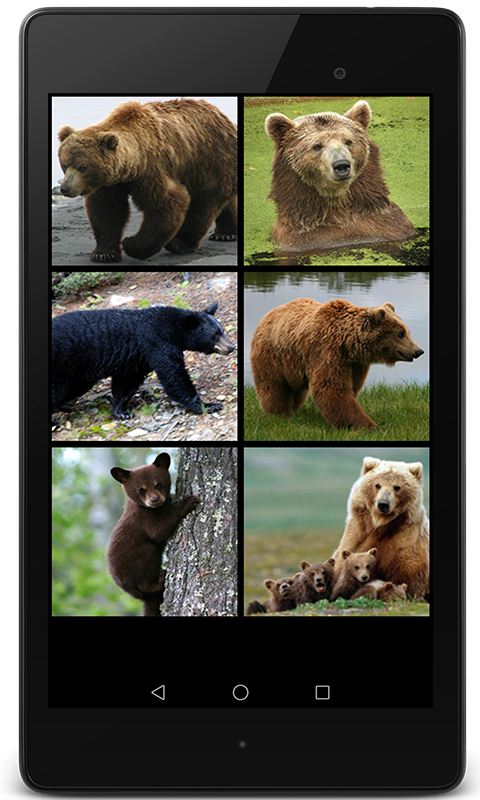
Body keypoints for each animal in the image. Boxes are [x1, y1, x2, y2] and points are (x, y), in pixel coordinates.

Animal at [51, 302, 235, 420]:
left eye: (222, 330)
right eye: (215, 335)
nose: (232, 346)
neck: (172, 329)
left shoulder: (137, 358)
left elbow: (126, 383)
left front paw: (120, 411)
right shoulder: (157, 344)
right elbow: (174, 376)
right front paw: (208, 405)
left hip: (79, 372)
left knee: (74, 388)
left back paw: (66, 406)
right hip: (62, 362)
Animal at [57, 98, 237, 262]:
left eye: (82, 167)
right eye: (65, 164)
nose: (65, 188)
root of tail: (225, 119)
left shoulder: (152, 170)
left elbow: (165, 203)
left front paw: (130, 244)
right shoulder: (111, 182)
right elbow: (107, 210)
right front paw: (104, 253)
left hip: (208, 160)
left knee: (205, 203)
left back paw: (181, 243)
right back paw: (226, 233)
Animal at [106, 453, 200, 616]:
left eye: (159, 484)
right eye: (141, 489)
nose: (155, 499)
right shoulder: (143, 518)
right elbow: (158, 530)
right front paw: (187, 502)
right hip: (137, 562)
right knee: (145, 572)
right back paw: (160, 579)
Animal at [249, 297, 423, 430]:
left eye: (407, 332)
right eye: (400, 334)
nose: (418, 351)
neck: (348, 345)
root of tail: (267, 315)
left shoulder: (355, 365)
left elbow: (351, 387)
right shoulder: (326, 352)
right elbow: (332, 388)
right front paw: (370, 426)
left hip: (293, 364)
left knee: (296, 390)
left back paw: (292, 409)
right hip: (273, 356)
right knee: (273, 386)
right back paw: (278, 414)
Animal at [332, 457, 429, 598]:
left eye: (397, 487)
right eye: (377, 485)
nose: (383, 504)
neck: (381, 525)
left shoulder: (405, 542)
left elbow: (409, 579)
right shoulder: (357, 536)